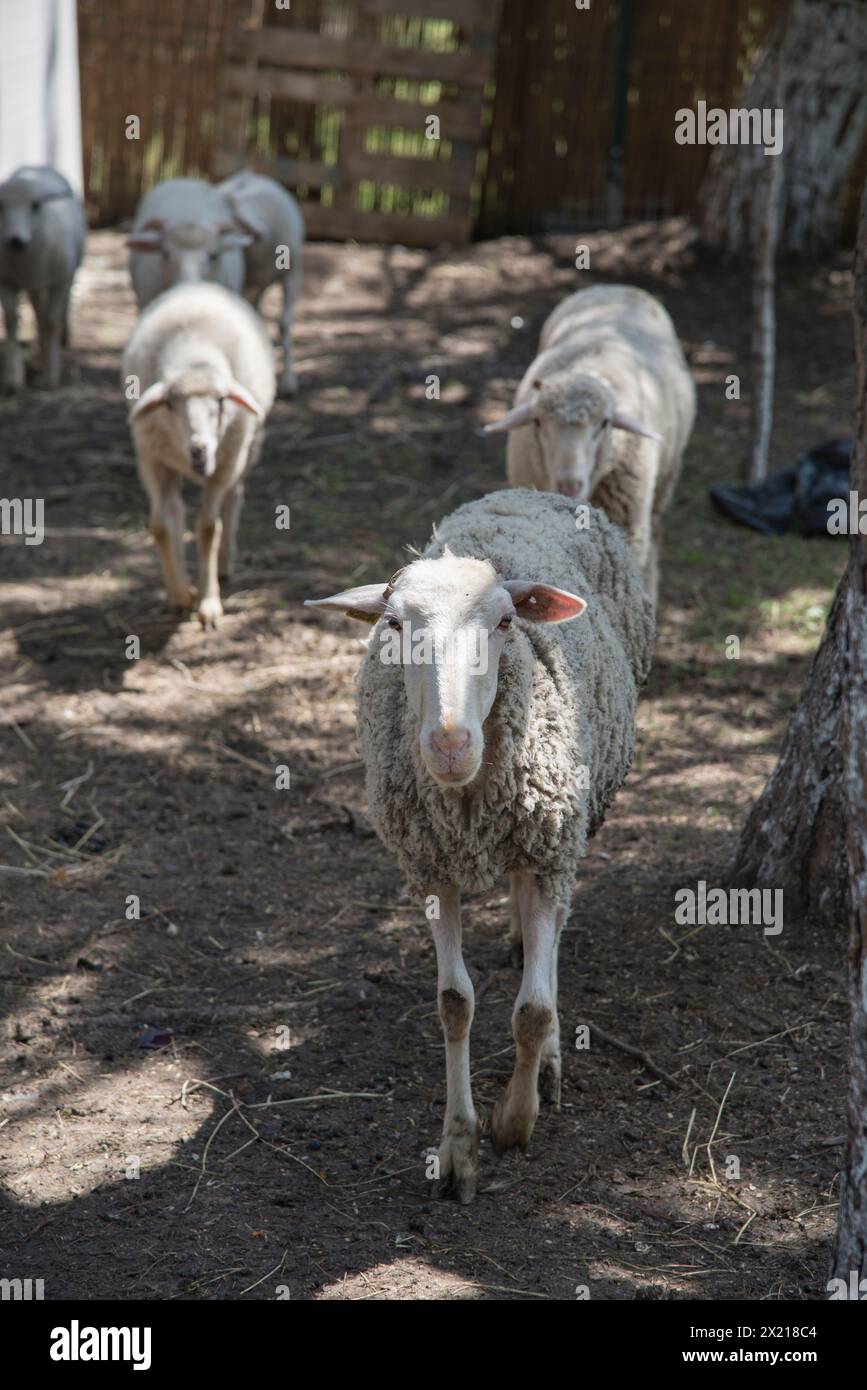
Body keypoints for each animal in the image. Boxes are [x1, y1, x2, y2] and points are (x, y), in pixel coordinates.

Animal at [0, 165, 86, 391]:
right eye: (0, 206)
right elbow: (11, 321)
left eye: (35, 205)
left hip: (65, 275)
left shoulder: (61, 280)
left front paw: (51, 377)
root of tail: (34, 169)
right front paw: (13, 378)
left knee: (54, 313)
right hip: (34, 285)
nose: (16, 241)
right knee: (38, 313)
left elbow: (52, 321)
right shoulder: (6, 281)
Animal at [122, 282, 275, 628]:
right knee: (177, 512)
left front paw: (208, 603)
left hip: (245, 451)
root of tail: (199, 286)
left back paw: (225, 563)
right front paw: (181, 594)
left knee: (234, 496)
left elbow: (207, 528)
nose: (199, 447)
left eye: (220, 400)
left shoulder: (224, 465)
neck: (192, 351)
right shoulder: (152, 462)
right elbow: (160, 526)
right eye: (169, 403)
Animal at [306, 488, 654, 1201]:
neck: (469, 803)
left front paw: (515, 1121)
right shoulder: (431, 868)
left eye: (504, 622)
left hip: (560, 840)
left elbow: (533, 1012)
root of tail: (529, 491)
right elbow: (455, 1004)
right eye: (394, 625)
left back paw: (546, 1058)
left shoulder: (549, 854)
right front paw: (458, 1148)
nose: (450, 744)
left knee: (548, 946)